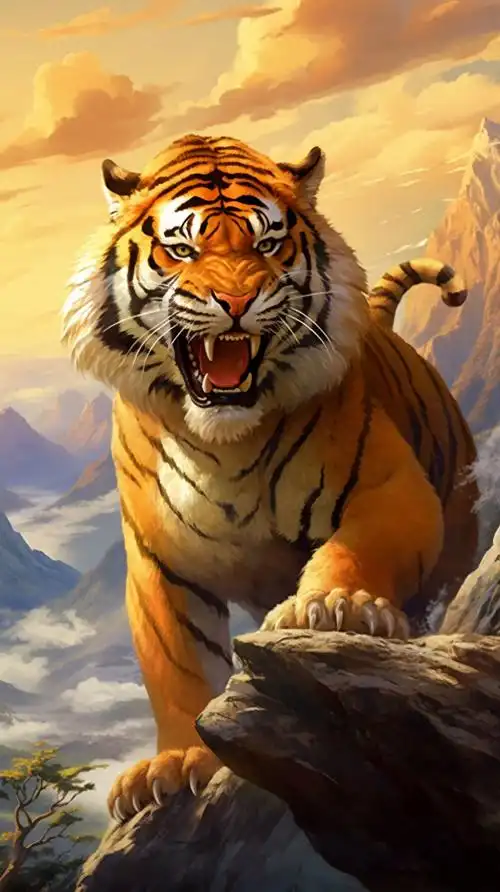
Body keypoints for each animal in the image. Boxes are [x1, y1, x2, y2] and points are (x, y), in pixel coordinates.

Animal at [62, 134, 478, 823]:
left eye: (266, 244)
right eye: (182, 248)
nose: (235, 305)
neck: (223, 441)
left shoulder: (391, 487)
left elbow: (356, 551)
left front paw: (336, 609)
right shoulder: (157, 560)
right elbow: (174, 662)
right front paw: (173, 764)